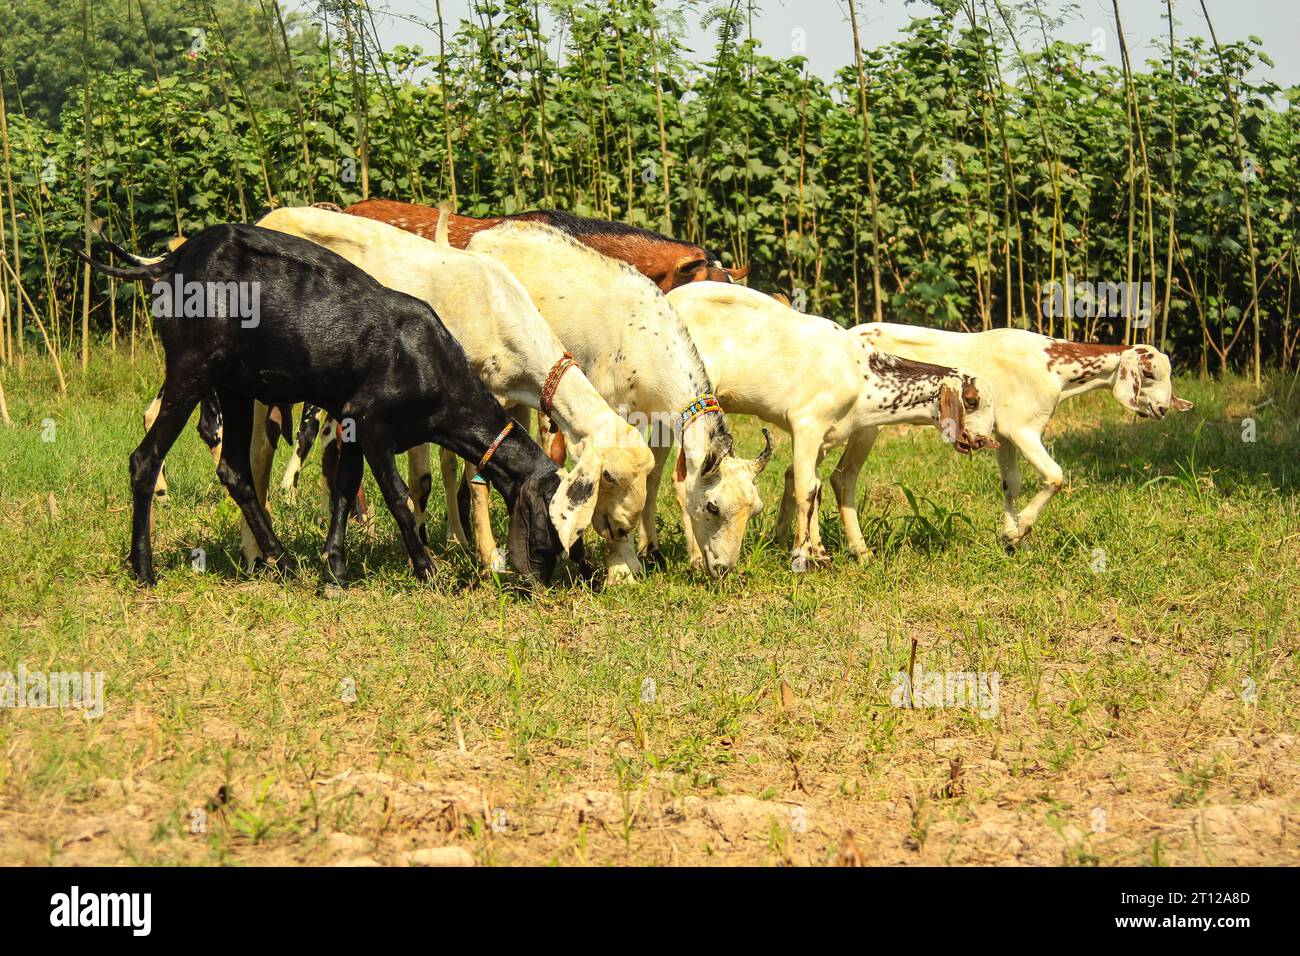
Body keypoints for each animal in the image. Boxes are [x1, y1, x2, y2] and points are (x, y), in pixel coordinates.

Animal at [74, 223, 572, 586]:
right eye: (557, 518)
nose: (553, 579)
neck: (428, 359)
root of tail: (173, 260)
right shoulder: (371, 424)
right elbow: (399, 497)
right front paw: (428, 570)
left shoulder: (350, 424)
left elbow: (344, 490)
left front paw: (335, 570)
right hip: (192, 371)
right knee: (145, 459)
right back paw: (144, 568)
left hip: (235, 388)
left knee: (235, 470)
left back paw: (281, 560)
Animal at [252, 206, 655, 581]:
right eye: (609, 477)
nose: (624, 526)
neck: (496, 309)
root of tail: (267, 218)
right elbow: (459, 479)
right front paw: (486, 557)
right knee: (259, 456)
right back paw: (258, 552)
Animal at [464, 221, 773, 576]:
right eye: (712, 506)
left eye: (754, 510)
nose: (724, 567)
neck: (650, 340)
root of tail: (484, 237)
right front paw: (621, 566)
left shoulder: (660, 419)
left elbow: (654, 478)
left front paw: (650, 553)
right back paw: (483, 553)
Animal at [666, 283, 999, 563]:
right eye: (972, 401)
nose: (984, 439)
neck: (862, 377)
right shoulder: (806, 425)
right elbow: (805, 489)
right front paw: (803, 556)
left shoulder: (827, 437)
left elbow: (815, 485)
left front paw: (819, 552)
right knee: (682, 480)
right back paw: (694, 559)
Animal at [850, 324, 1193, 549]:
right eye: (1148, 373)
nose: (1163, 408)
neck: (1053, 366)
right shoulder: (1023, 428)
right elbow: (1055, 476)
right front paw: (1018, 532)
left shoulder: (1003, 434)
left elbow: (1011, 483)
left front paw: (1010, 539)